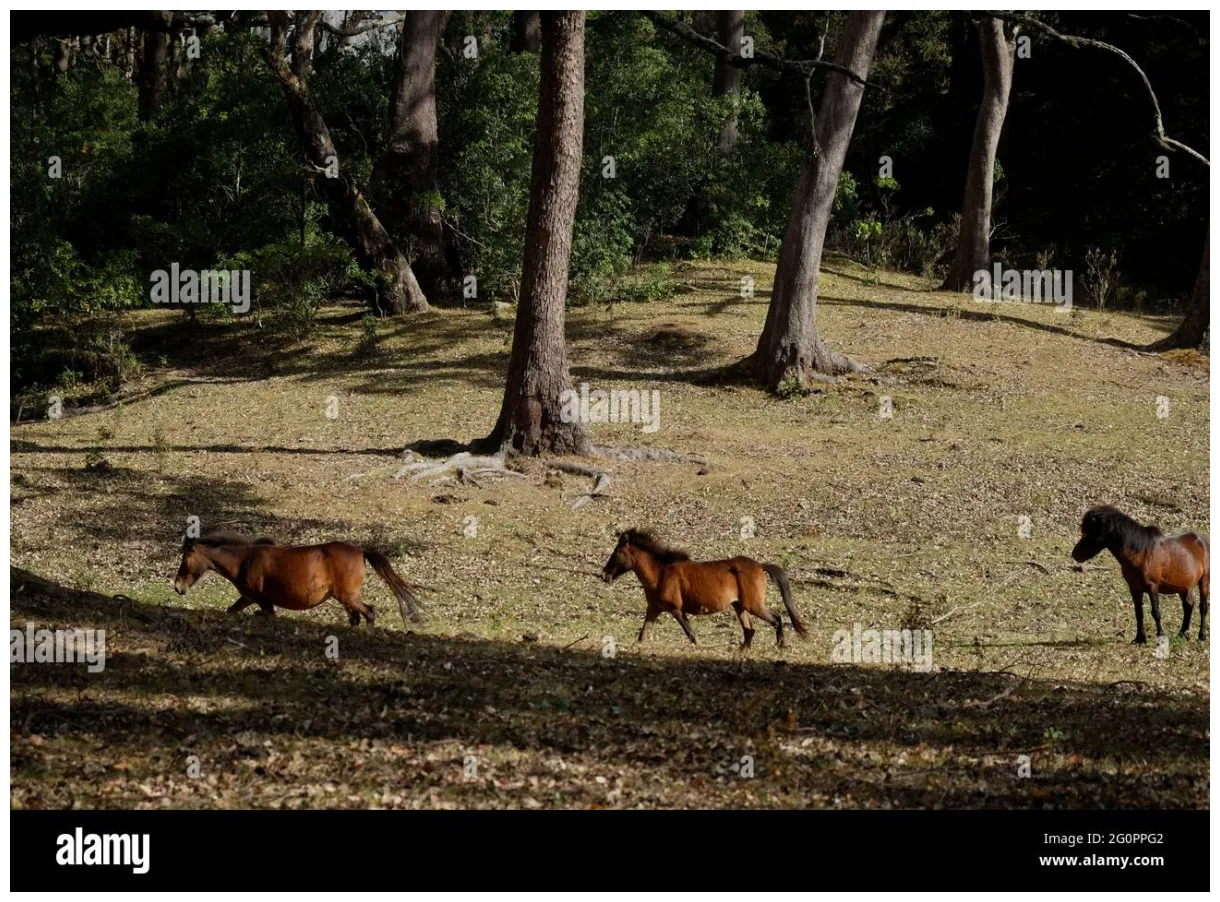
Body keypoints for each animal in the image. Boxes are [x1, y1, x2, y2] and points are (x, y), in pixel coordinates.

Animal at [172, 531, 423, 627]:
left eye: (186, 558)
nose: (177, 587)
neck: (245, 560)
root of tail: (361, 552)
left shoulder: (262, 601)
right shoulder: (249, 599)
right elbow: (231, 611)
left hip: (348, 597)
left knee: (369, 612)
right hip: (346, 599)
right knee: (356, 618)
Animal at [601, 528, 808, 648]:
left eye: (617, 553)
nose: (604, 575)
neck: (661, 574)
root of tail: (759, 565)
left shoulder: (676, 610)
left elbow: (691, 634)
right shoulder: (653, 609)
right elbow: (643, 634)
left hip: (753, 605)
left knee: (776, 619)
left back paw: (780, 646)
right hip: (739, 606)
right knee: (749, 630)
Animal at [1071, 505, 1209, 644]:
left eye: (1090, 532)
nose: (1075, 554)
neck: (1141, 553)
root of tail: (1202, 541)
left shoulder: (1152, 586)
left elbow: (1155, 612)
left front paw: (1160, 635)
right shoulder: (1134, 588)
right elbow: (1139, 613)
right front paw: (1140, 638)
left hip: (1204, 580)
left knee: (1202, 607)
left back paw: (1201, 636)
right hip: (1183, 587)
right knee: (1188, 605)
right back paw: (1182, 633)